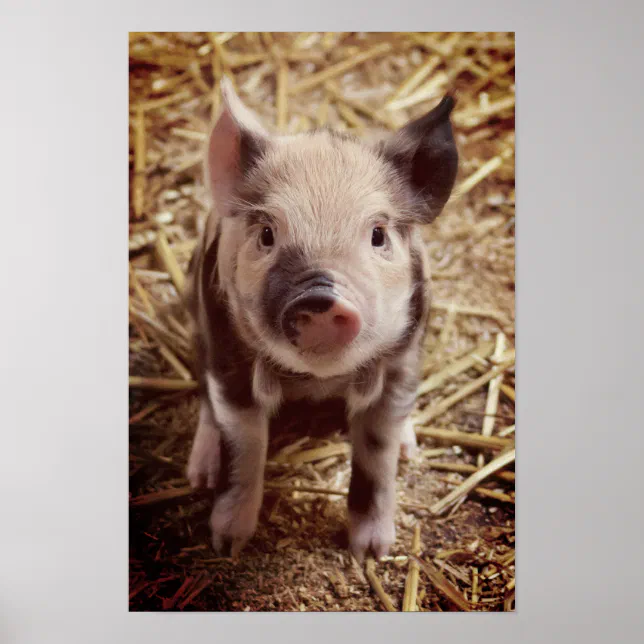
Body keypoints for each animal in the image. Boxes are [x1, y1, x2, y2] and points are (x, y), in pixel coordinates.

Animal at [185, 77, 458, 561]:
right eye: (267, 233)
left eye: (378, 235)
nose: (320, 297)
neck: (317, 381)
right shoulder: (227, 354)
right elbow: (244, 449)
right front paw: (227, 545)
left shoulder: (403, 359)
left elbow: (377, 454)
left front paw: (373, 553)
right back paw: (199, 475)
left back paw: (411, 451)